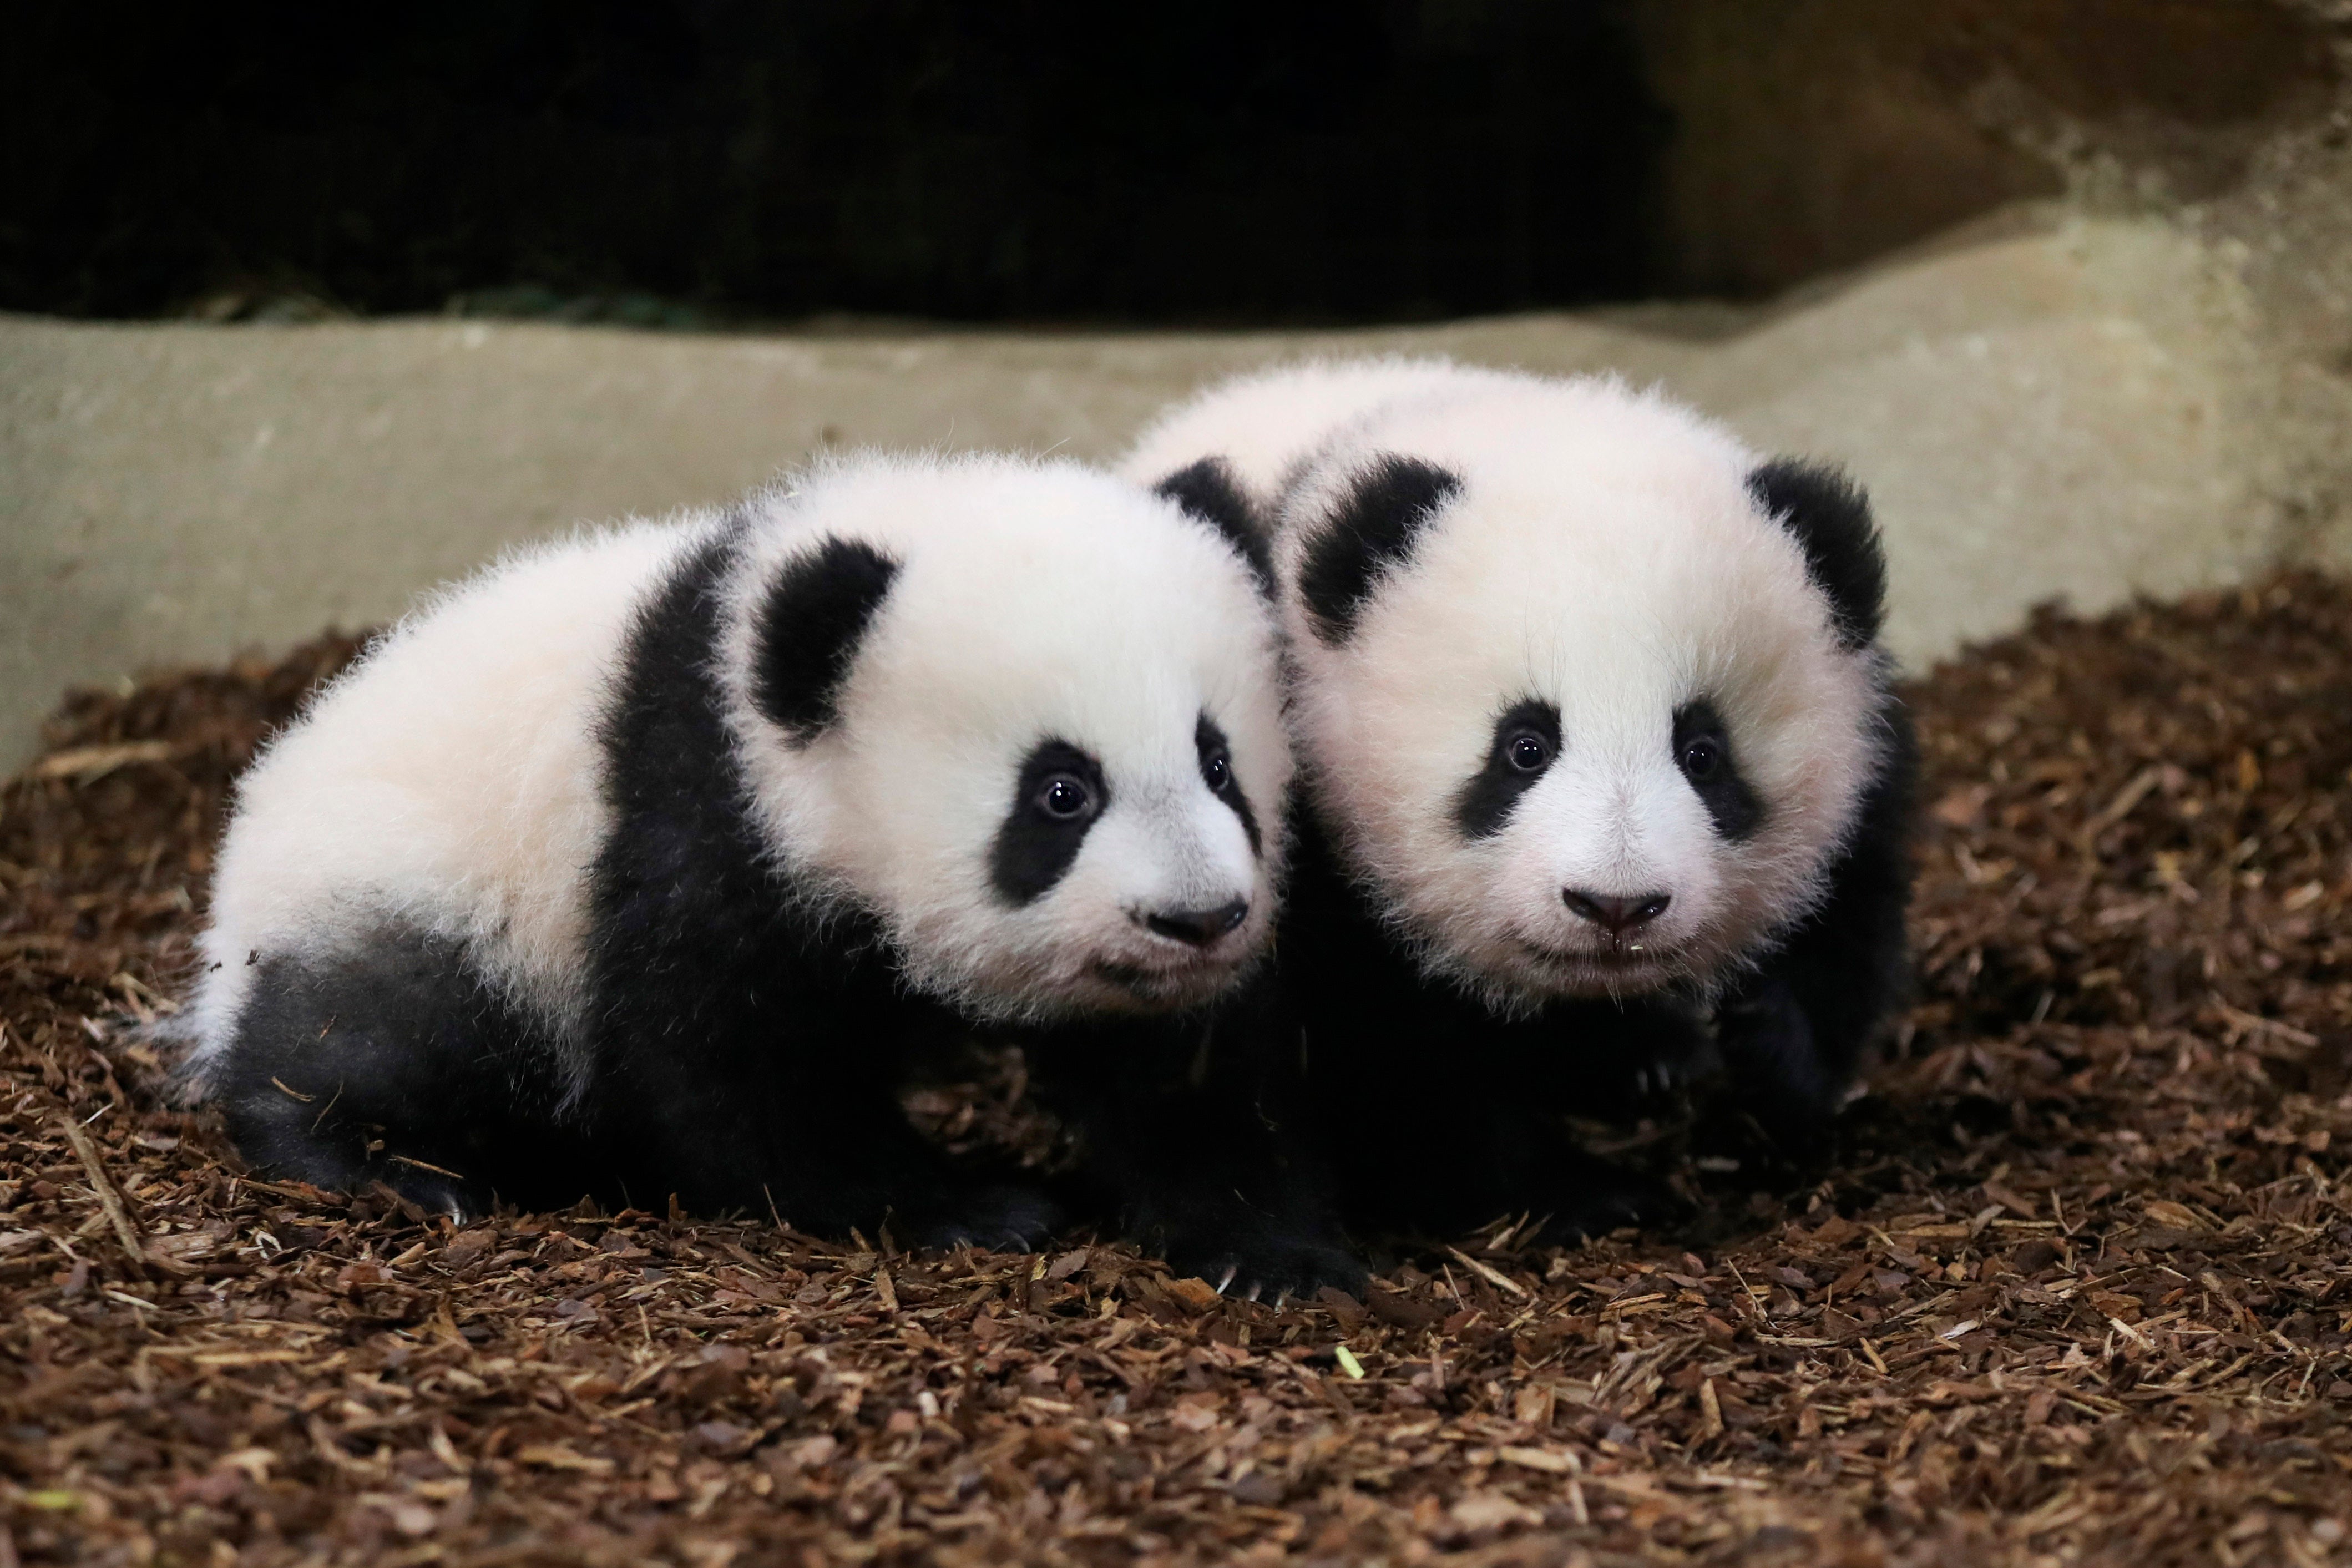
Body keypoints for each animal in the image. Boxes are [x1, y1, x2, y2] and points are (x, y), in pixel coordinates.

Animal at [181, 451, 1359, 1284]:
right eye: (1060, 793)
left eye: (1218, 761)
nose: (1197, 918)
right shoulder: (694, 823)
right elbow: (727, 1073)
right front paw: (972, 1207)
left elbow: (1183, 1071)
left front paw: (1271, 1254)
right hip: (423, 892)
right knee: (377, 1030)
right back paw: (376, 1166)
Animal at [1121, 358, 1917, 1238]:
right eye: (1524, 748)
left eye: (1703, 754)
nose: (1615, 905)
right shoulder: (1313, 816)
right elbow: (1393, 1060)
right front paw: (1583, 1190)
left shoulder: (1861, 749)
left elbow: (1845, 917)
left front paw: (1764, 1052)